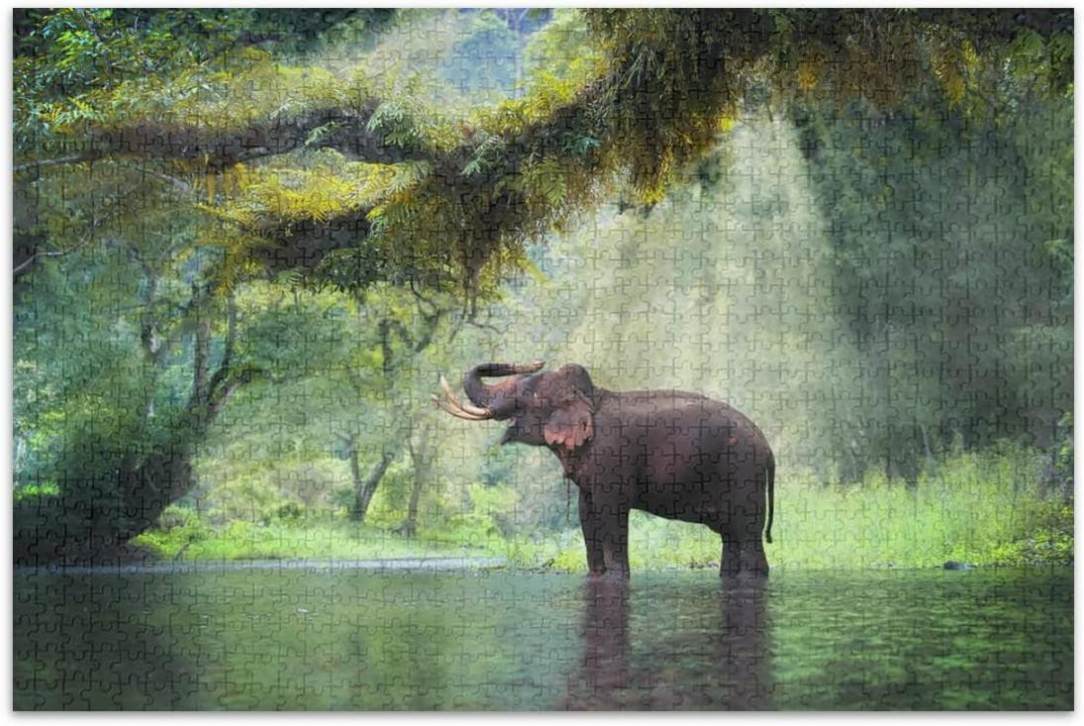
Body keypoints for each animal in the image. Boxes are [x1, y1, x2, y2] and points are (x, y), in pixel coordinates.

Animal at [434, 361, 775, 578]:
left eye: (523, 397)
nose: (535, 360)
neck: (591, 396)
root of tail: (768, 449)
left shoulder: (612, 457)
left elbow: (611, 514)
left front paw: (616, 577)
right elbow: (586, 514)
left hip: (743, 475)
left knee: (748, 538)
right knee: (731, 538)